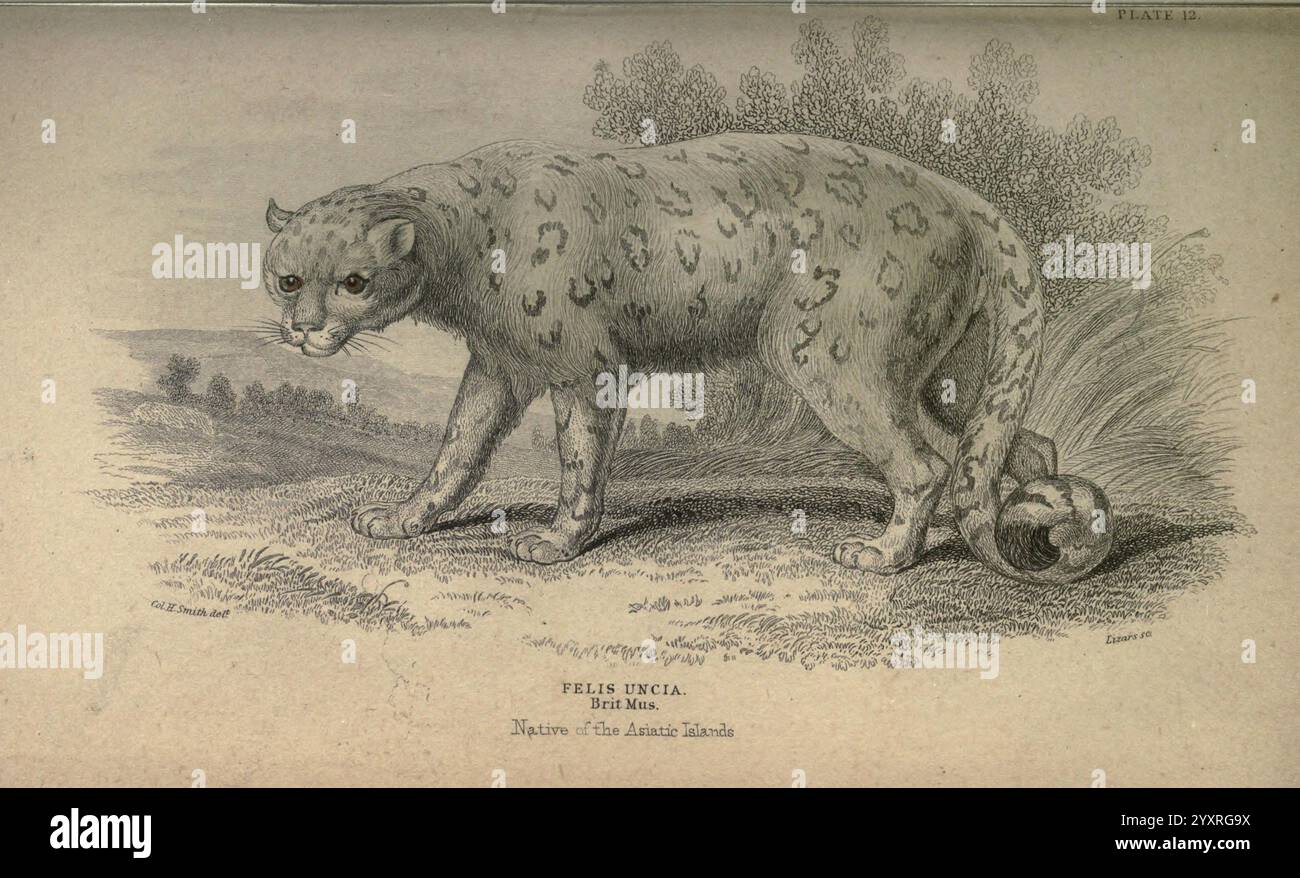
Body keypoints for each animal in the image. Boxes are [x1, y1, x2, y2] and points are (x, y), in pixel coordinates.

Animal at [261, 132, 1112, 585]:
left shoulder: (585, 365)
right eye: (288, 276)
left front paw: (558, 542)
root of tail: (956, 193)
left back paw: (881, 554)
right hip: (919, 376)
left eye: (354, 281)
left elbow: (579, 462)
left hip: (828, 360)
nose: (303, 330)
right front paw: (404, 518)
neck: (470, 241)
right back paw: (1002, 514)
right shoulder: (499, 367)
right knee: (1012, 447)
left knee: (926, 465)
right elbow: (456, 452)